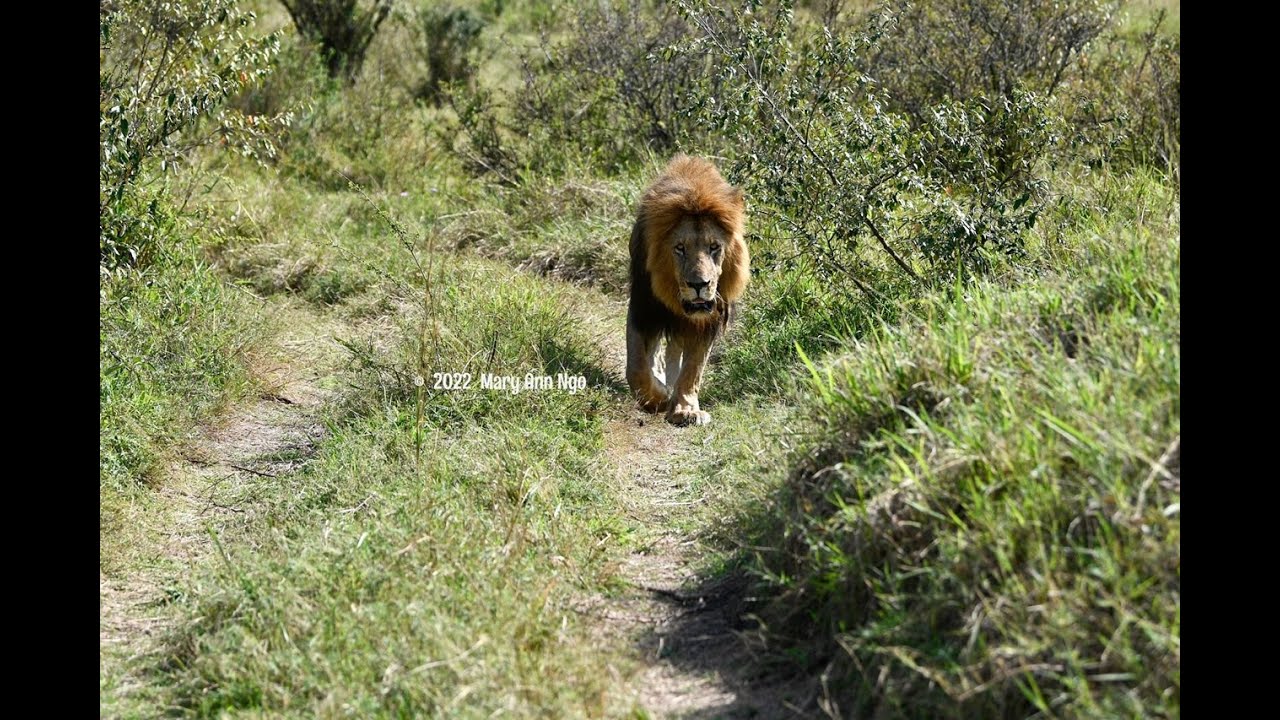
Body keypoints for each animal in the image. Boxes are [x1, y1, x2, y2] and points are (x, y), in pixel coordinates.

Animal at [626, 154, 748, 426]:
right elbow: (636, 366)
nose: (699, 285)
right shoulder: (643, 308)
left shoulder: (709, 318)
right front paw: (657, 397)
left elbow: (693, 368)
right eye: (680, 248)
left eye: (714, 247)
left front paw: (685, 409)